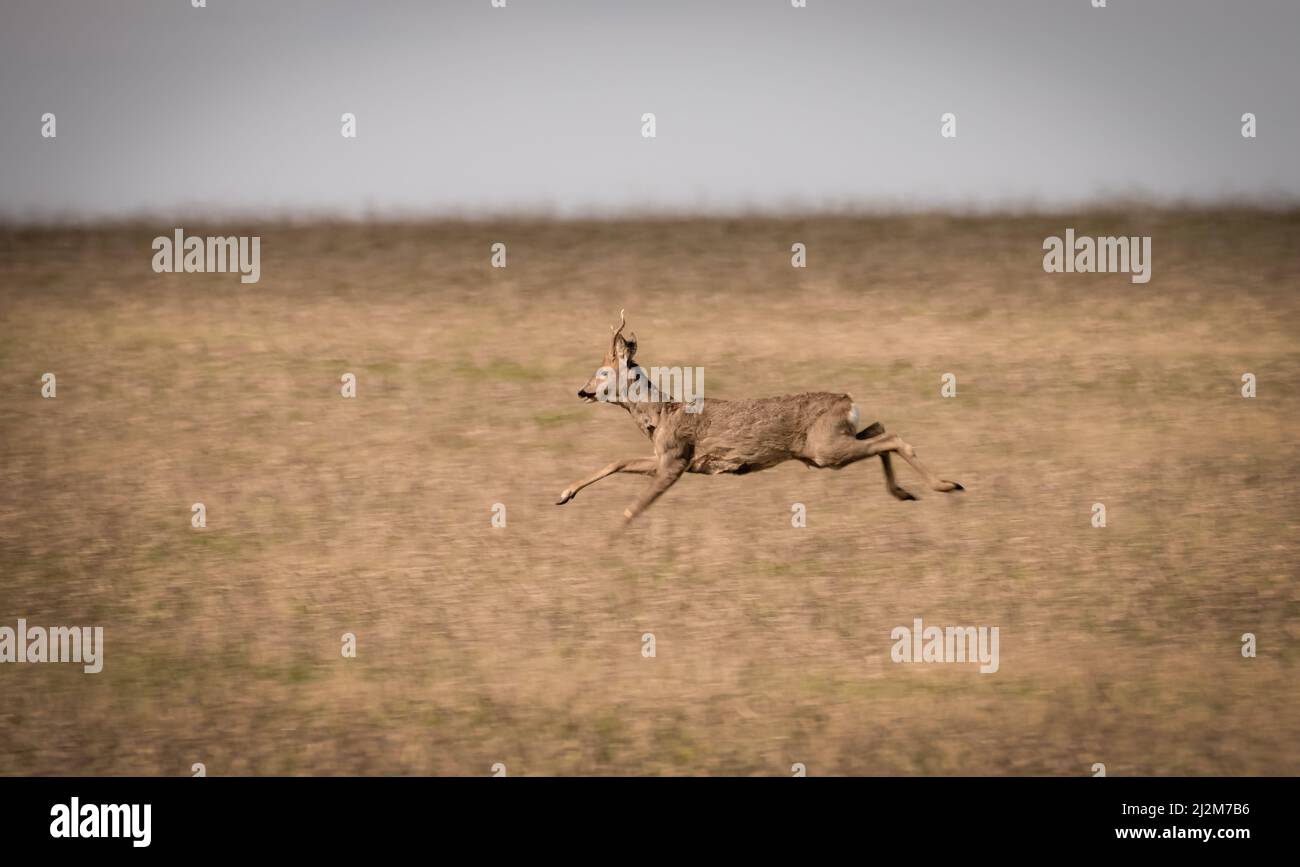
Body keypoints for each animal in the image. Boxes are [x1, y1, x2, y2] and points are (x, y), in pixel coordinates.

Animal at [556, 312, 964, 523]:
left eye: (603, 372)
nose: (581, 391)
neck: (662, 414)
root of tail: (848, 401)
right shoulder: (670, 459)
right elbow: (619, 460)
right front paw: (564, 494)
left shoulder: (676, 460)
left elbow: (638, 503)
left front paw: (616, 530)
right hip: (835, 441)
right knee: (880, 429)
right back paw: (905, 492)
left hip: (824, 449)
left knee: (891, 437)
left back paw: (948, 485)